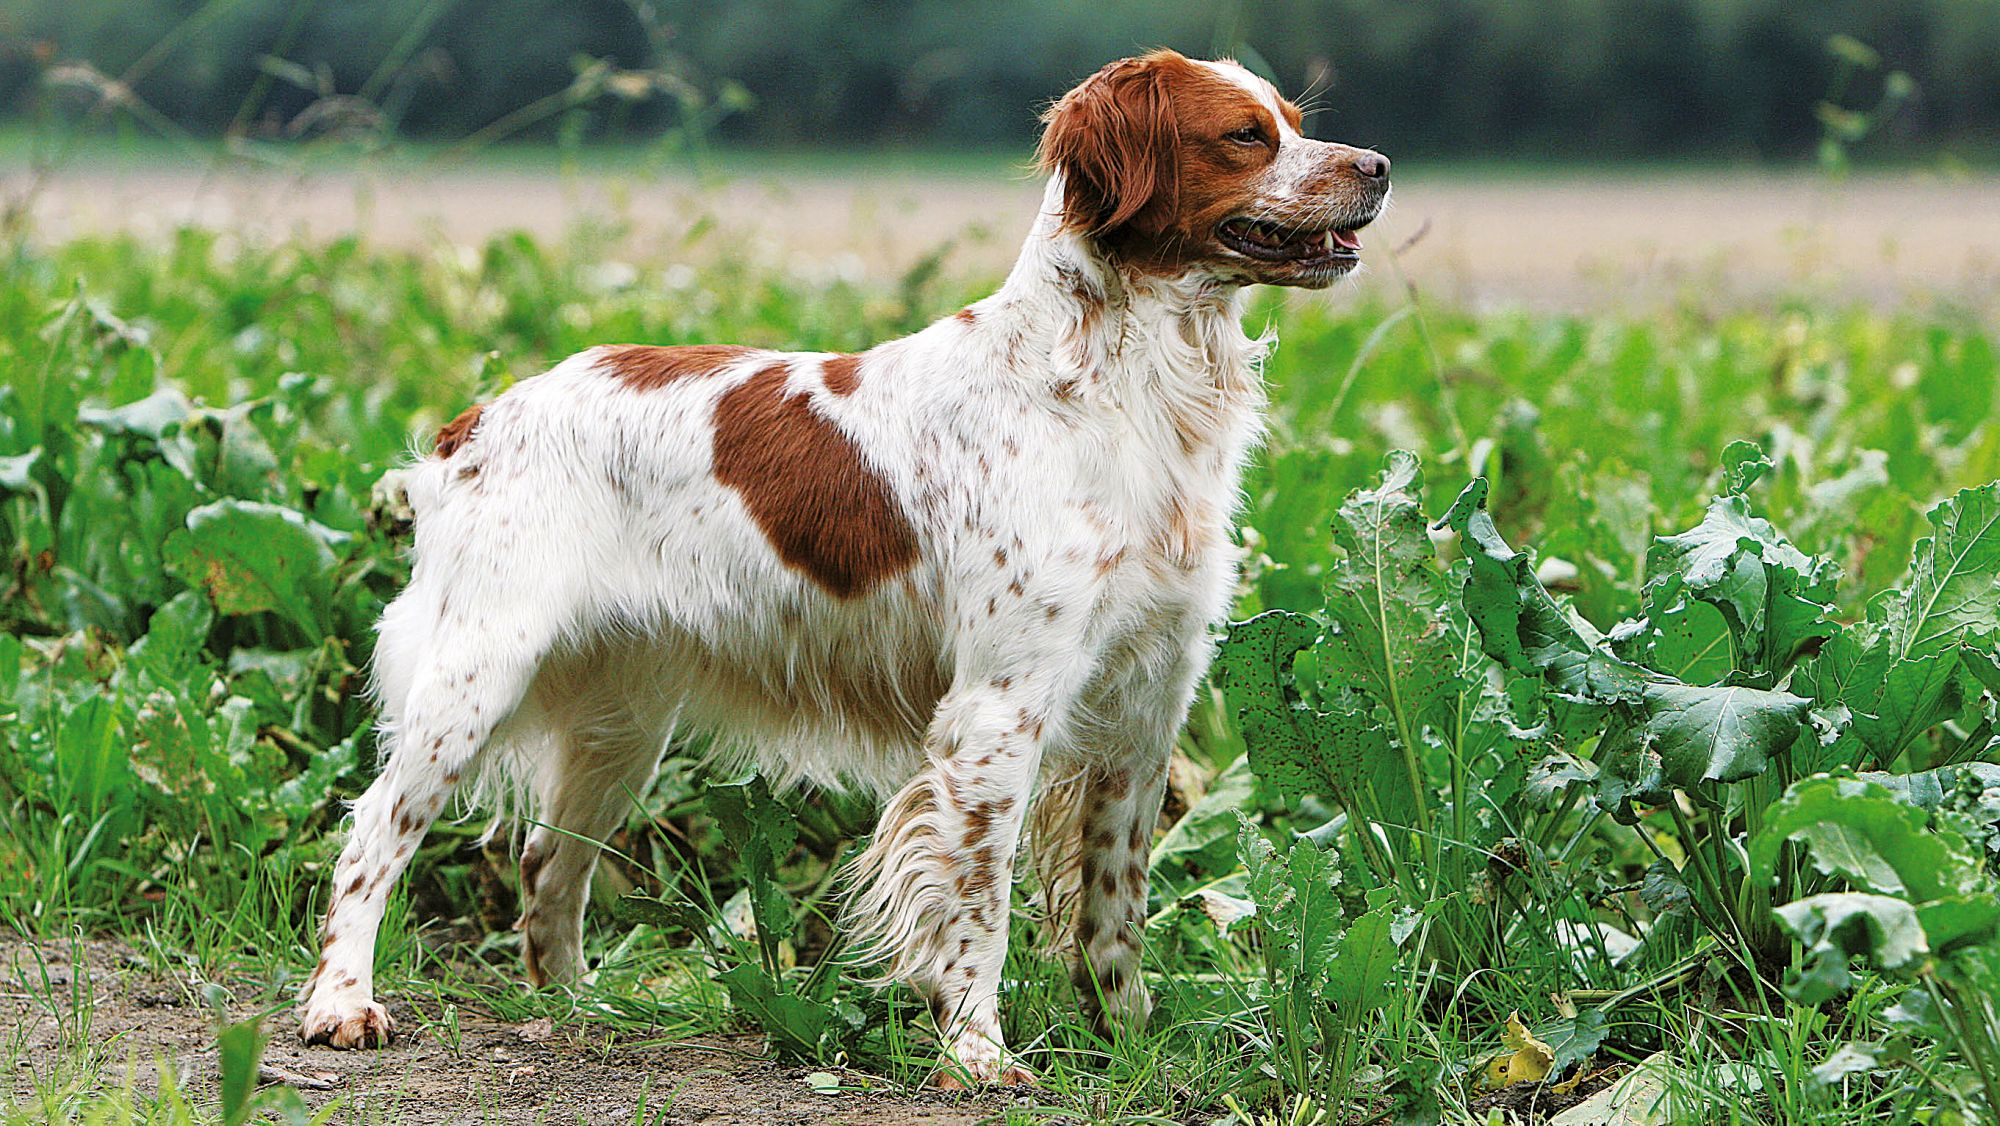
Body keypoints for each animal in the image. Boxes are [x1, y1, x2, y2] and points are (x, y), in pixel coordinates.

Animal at [300, 48, 1392, 1088]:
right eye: (1245, 136)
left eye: (1297, 122)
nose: (1379, 166)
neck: (1121, 389)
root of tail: (475, 418)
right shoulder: (998, 708)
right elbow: (982, 900)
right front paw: (975, 1052)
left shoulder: (1145, 702)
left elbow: (1113, 905)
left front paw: (1126, 1044)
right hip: (476, 672)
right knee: (373, 831)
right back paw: (342, 1002)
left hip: (623, 725)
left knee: (548, 858)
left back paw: (575, 1002)